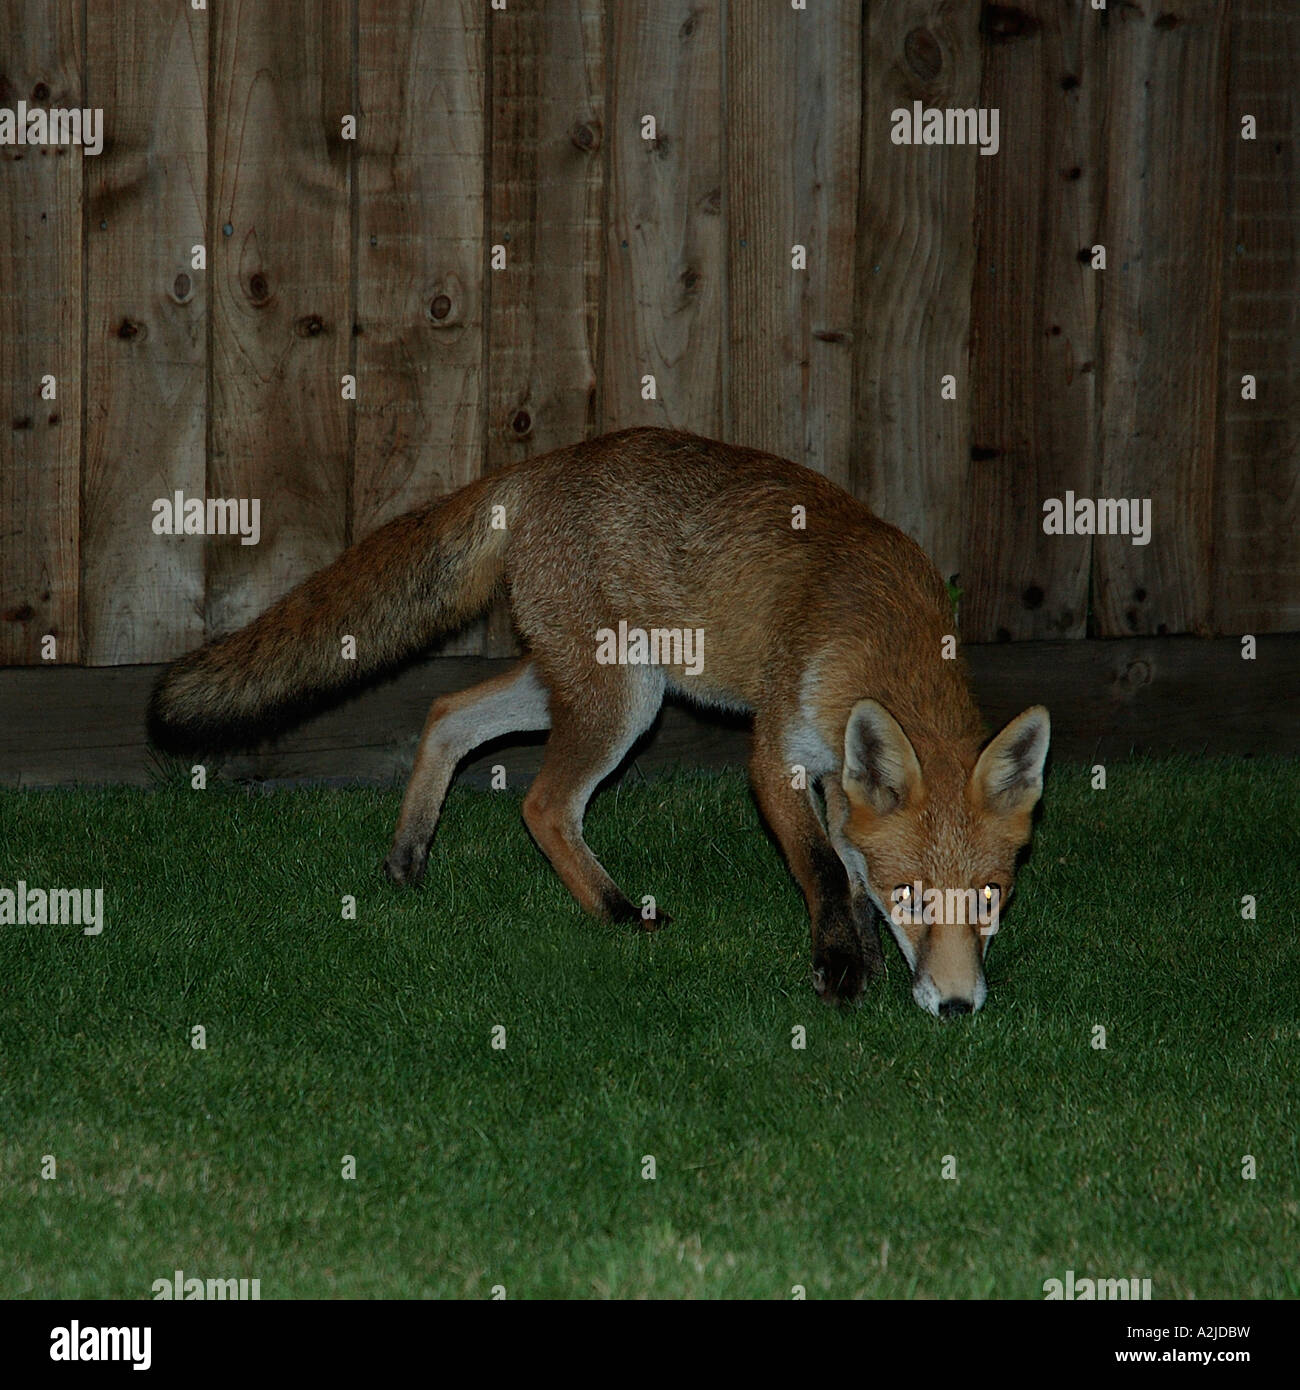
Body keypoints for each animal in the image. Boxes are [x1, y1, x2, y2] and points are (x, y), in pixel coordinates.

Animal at [149, 427, 1050, 1016]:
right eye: (914, 895)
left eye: (993, 897)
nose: (959, 1008)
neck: (883, 633)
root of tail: (542, 464)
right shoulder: (776, 754)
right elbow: (826, 869)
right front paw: (839, 968)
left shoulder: (837, 770)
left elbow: (845, 865)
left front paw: (859, 951)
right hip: (623, 699)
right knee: (543, 804)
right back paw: (618, 913)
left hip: (579, 681)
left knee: (447, 713)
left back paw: (408, 855)